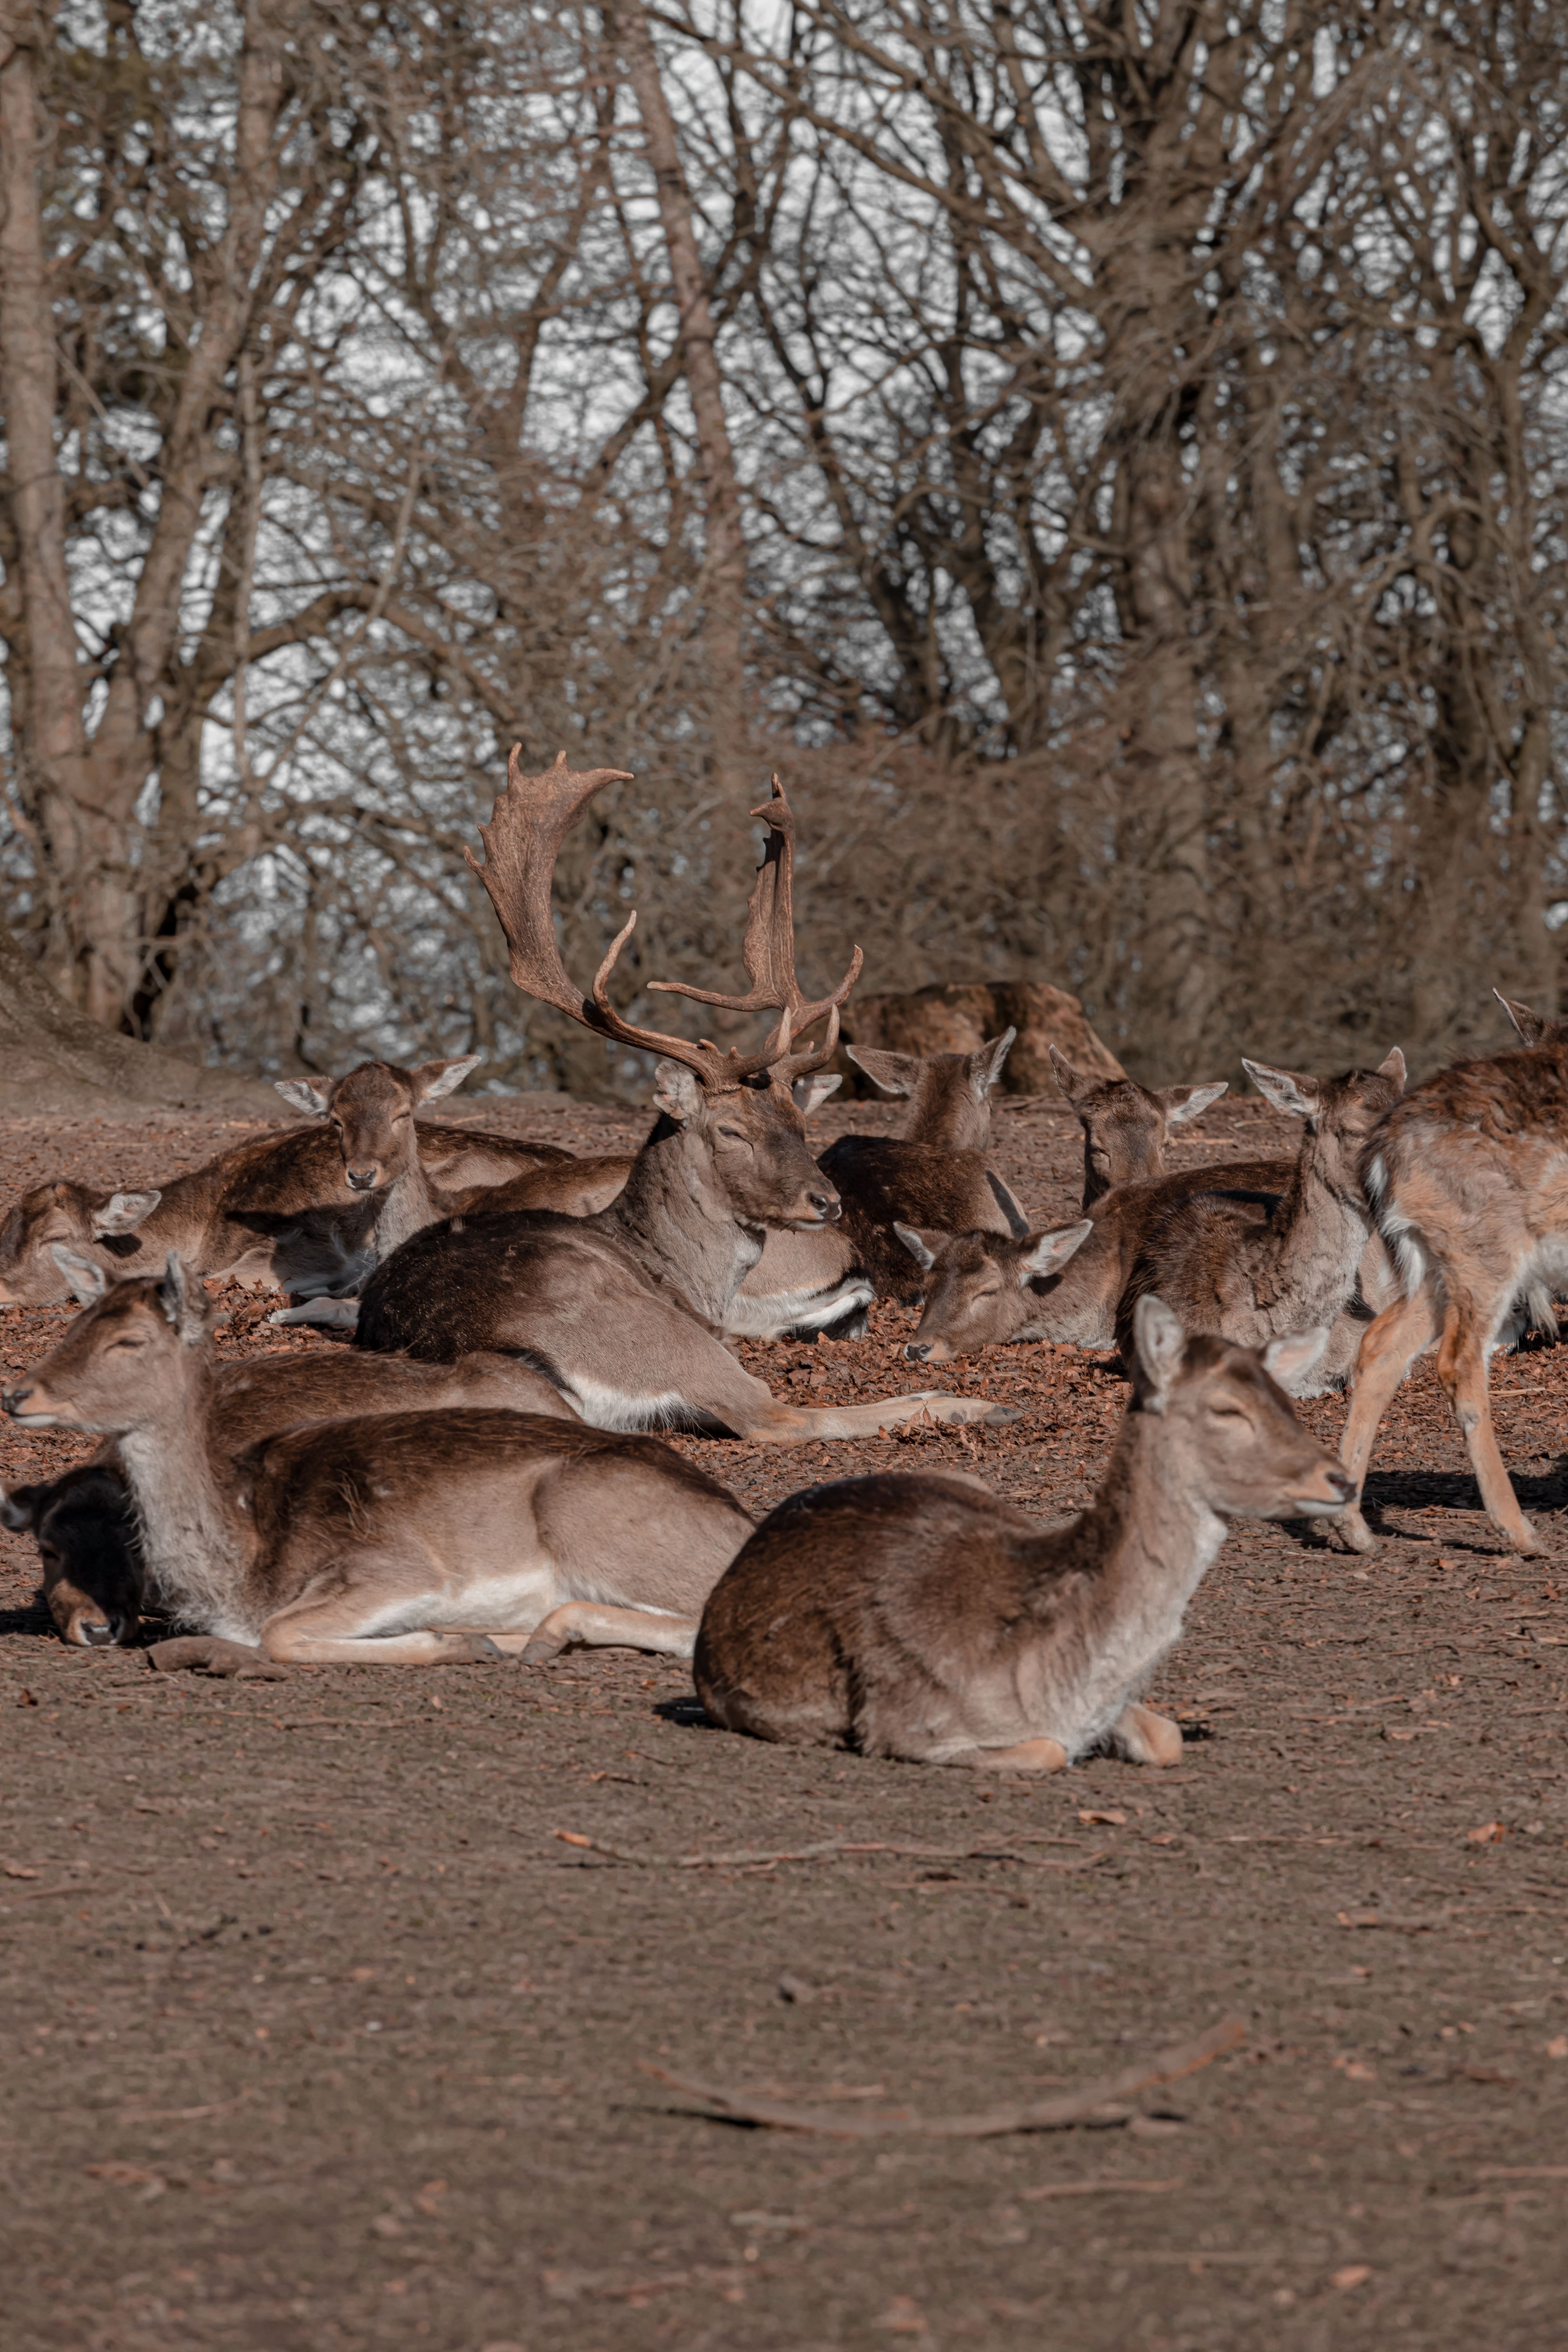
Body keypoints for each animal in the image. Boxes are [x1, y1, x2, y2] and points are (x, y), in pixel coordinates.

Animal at [1, 1252, 756, 1671]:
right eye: (75, 1322)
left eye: (128, 1341)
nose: (19, 1392)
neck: (239, 1567)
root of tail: (740, 1524)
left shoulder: (394, 1568)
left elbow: (281, 1633)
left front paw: (454, 1644)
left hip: (590, 1516)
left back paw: (535, 1636)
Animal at [350, 751, 1014, 1445]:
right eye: (730, 1131)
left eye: (798, 1121)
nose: (827, 1203)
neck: (677, 1272)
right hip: (660, 1335)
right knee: (777, 1415)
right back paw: (973, 1404)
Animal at [693, 1297, 1351, 1770]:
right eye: (1227, 1410)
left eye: (1286, 1400)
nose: (1340, 1478)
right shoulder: (907, 1720)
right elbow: (1048, 1750)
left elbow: (1166, 1737)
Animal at [1335, 1003, 1568, 1555]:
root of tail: (1382, 1153)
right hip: (1486, 1247)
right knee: (1458, 1362)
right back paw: (1520, 1532)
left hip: (1436, 1259)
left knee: (1381, 1344)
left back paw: (1354, 1530)